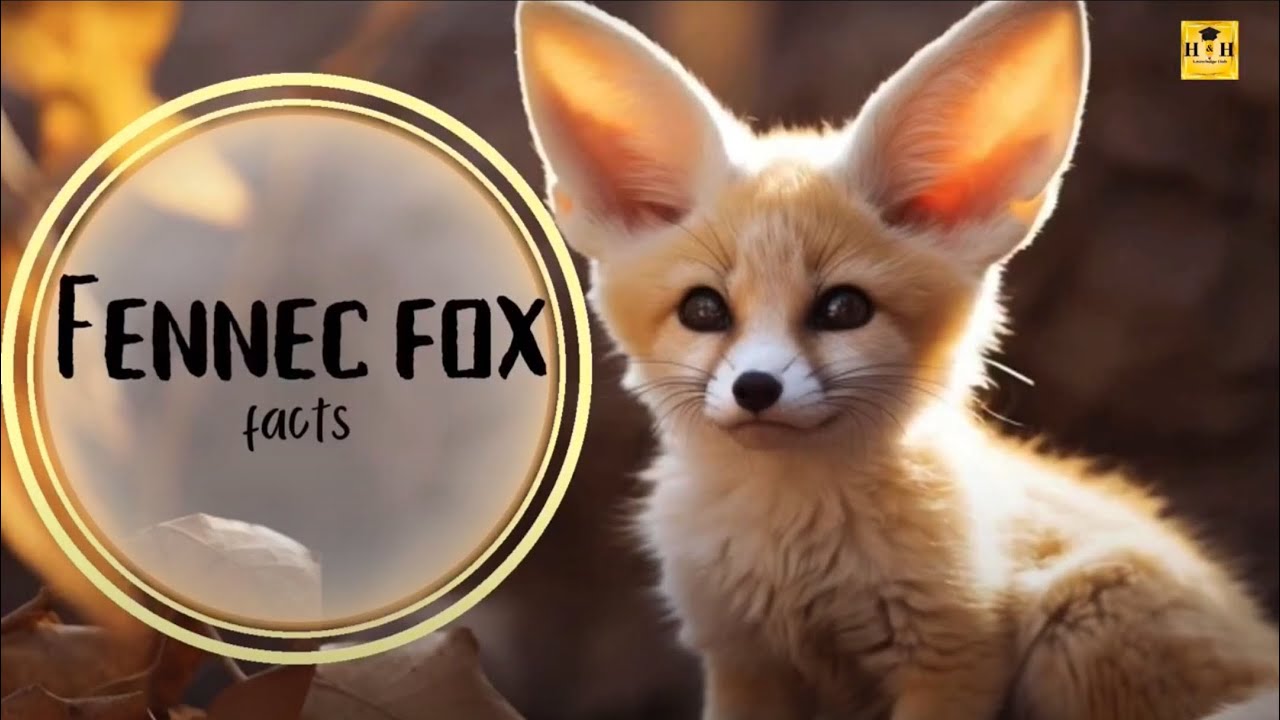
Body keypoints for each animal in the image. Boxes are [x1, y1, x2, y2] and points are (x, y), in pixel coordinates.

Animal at [514, 1, 1280, 719]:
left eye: (842, 309)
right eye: (704, 311)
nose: (756, 387)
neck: (792, 553)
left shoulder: (952, 653)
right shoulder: (743, 659)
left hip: (1083, 621)